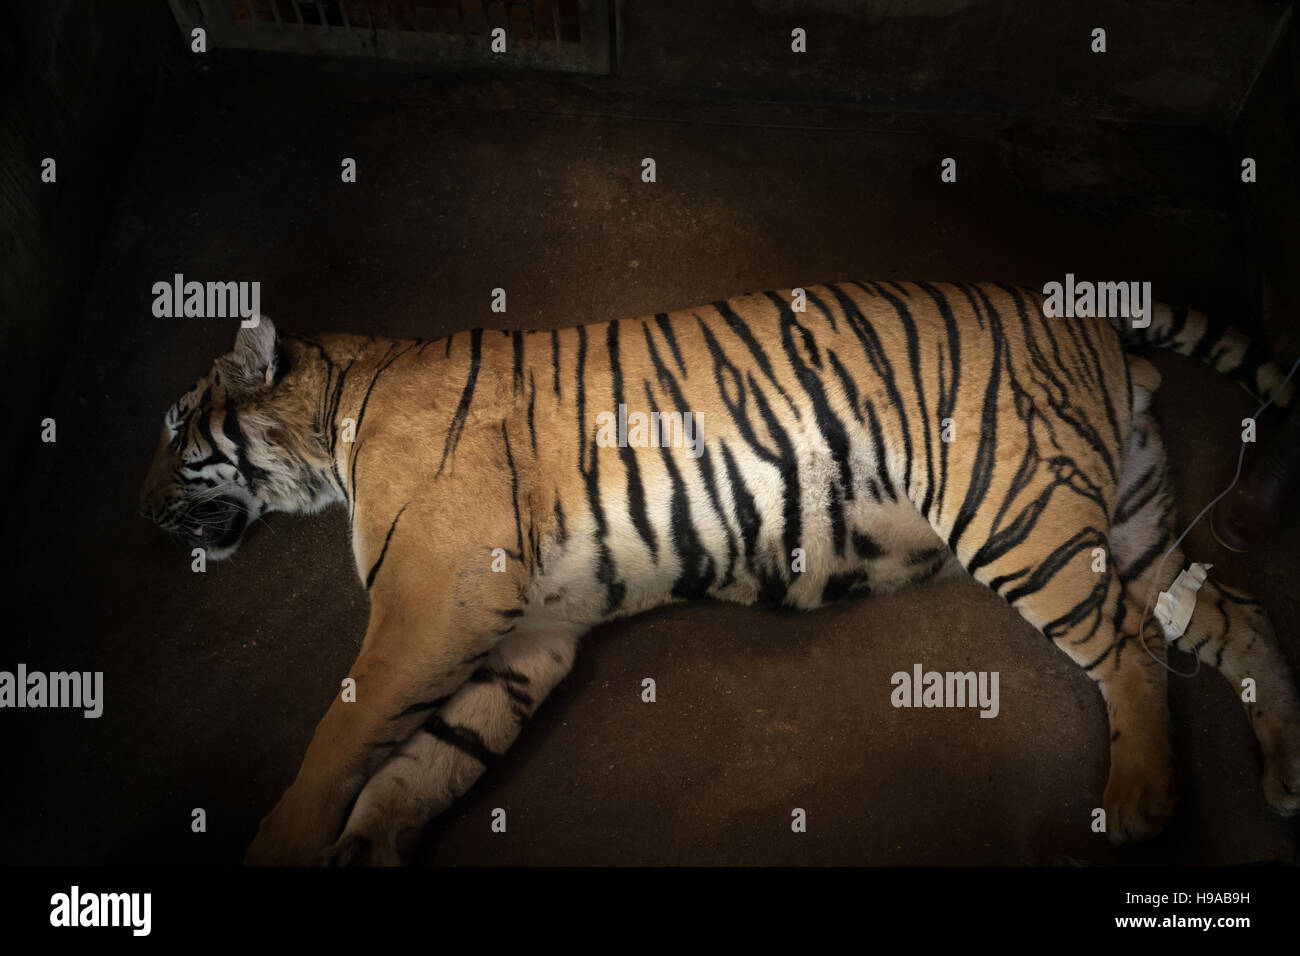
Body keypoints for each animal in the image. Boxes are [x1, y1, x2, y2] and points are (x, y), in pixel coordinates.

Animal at [138, 281, 1300, 866]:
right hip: (1127, 519)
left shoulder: (439, 593)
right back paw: (1285, 772)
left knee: (1132, 642)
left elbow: (343, 733)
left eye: (172, 423)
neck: (337, 415)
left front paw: (280, 853)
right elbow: (422, 763)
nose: (142, 515)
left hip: (1018, 512)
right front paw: (366, 851)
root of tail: (1078, 305)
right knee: (1234, 615)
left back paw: (1141, 800)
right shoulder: (527, 635)